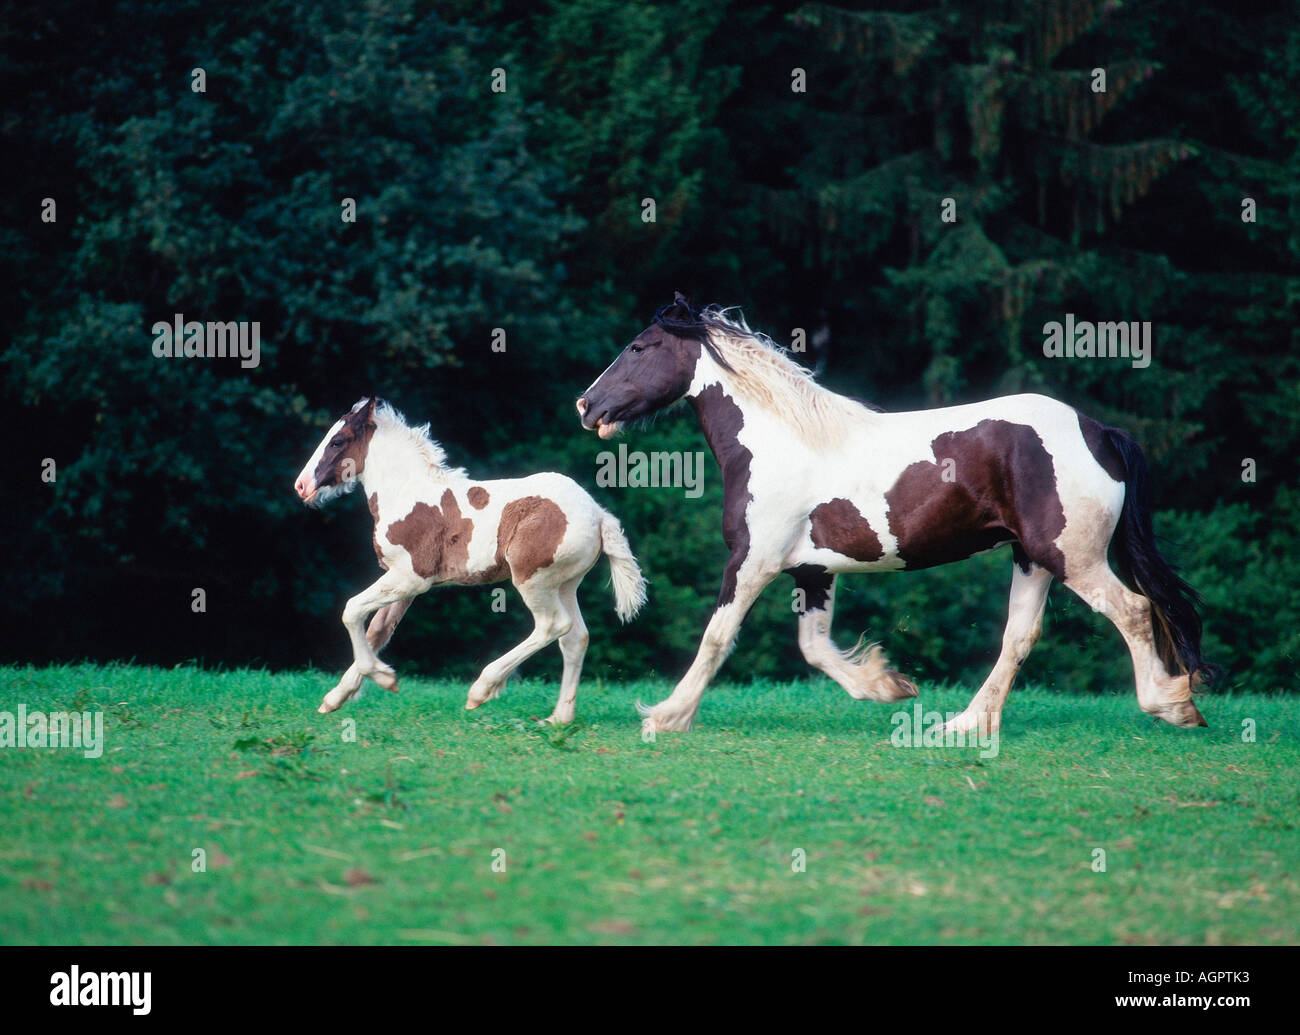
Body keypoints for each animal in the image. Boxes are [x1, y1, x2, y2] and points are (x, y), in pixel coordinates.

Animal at [294, 397, 646, 723]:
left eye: (338, 441)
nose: (301, 485)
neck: (406, 493)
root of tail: (598, 514)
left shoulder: (410, 578)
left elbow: (352, 610)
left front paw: (384, 678)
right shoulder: (401, 581)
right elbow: (378, 632)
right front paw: (337, 697)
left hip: (533, 579)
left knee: (553, 625)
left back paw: (482, 689)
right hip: (564, 584)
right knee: (575, 638)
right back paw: (559, 718)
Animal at [576, 293, 1214, 736]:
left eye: (638, 347)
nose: (587, 405)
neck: (778, 442)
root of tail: (1097, 431)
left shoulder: (753, 561)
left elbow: (717, 636)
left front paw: (665, 716)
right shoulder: (813, 571)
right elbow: (813, 647)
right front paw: (889, 685)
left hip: (1073, 557)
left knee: (1133, 610)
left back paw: (1172, 705)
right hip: (1032, 559)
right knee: (1019, 636)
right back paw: (964, 724)